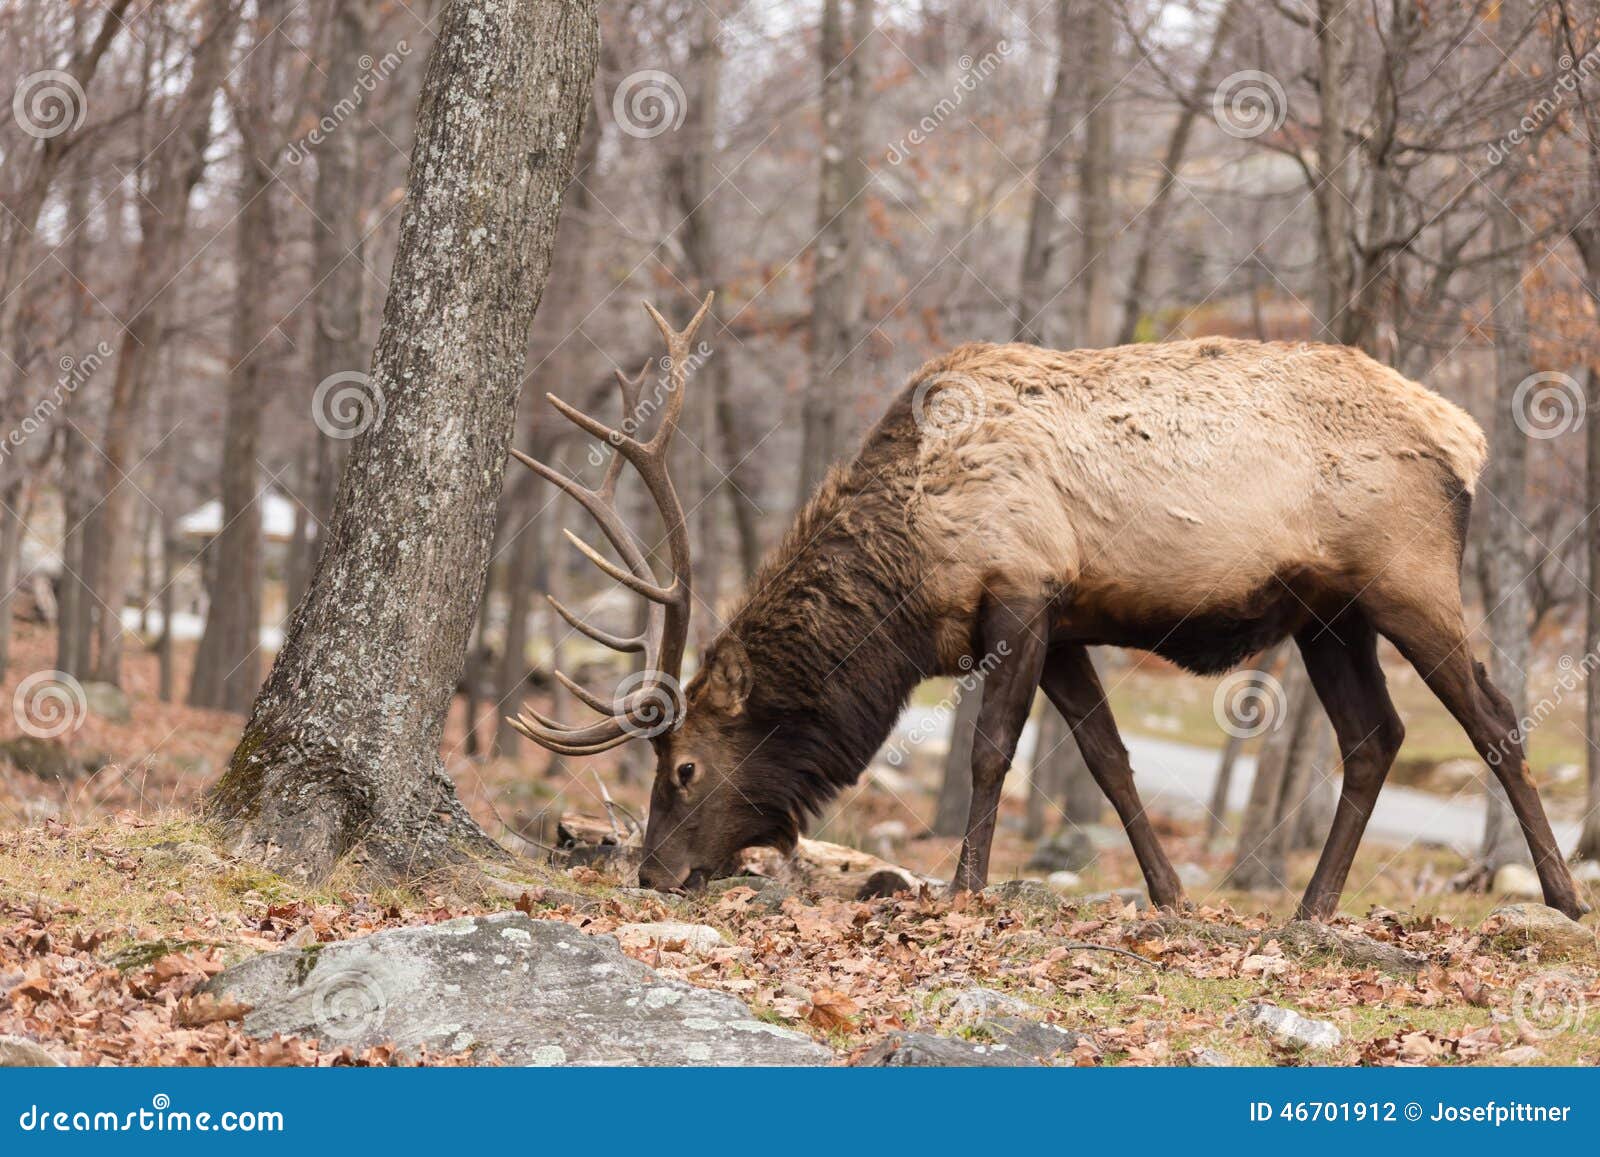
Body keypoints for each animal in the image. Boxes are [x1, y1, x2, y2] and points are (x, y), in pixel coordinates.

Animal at [506, 292, 1586, 923]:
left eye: (683, 767)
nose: (654, 871)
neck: (912, 560)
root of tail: (1466, 438)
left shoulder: (1020, 592)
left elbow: (992, 751)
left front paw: (964, 886)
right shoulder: (1065, 624)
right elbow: (1108, 759)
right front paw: (1170, 893)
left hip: (1407, 574)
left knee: (1491, 717)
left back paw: (1565, 895)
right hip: (1328, 613)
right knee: (1375, 734)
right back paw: (1314, 907)